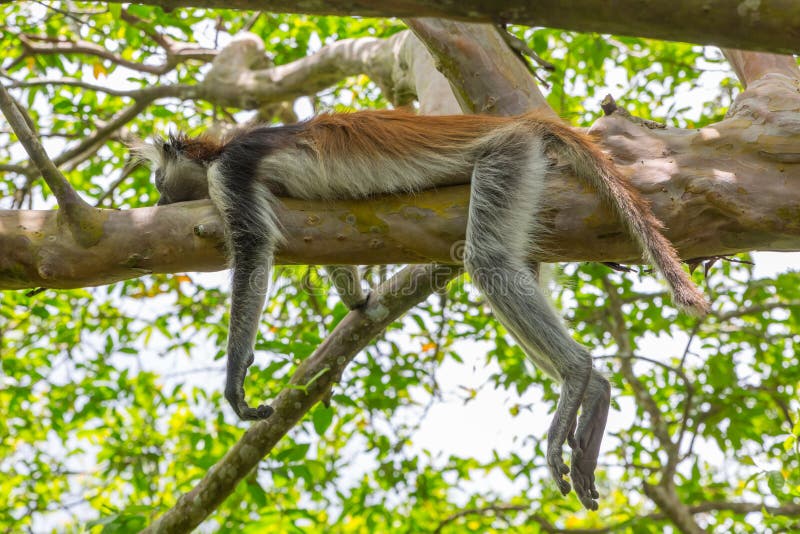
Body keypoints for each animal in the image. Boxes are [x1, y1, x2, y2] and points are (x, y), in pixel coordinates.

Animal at [134, 109, 708, 510]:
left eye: (159, 181)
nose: (157, 201)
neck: (219, 150)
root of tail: (515, 121)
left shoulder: (231, 172)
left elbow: (255, 249)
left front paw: (235, 380)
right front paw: (357, 298)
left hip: (507, 157)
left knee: (490, 262)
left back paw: (577, 373)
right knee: (515, 266)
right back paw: (598, 390)